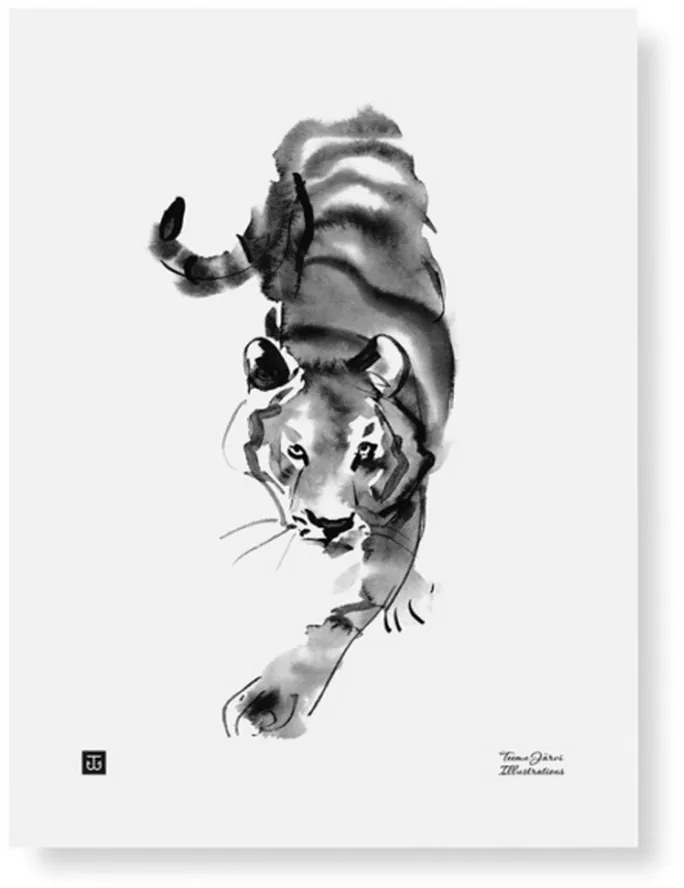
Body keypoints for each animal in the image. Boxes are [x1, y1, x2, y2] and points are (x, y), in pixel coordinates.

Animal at [151, 106, 456, 738]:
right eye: (295, 452)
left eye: (365, 452)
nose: (331, 523)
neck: (331, 343)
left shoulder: (409, 492)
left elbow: (357, 602)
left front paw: (273, 699)